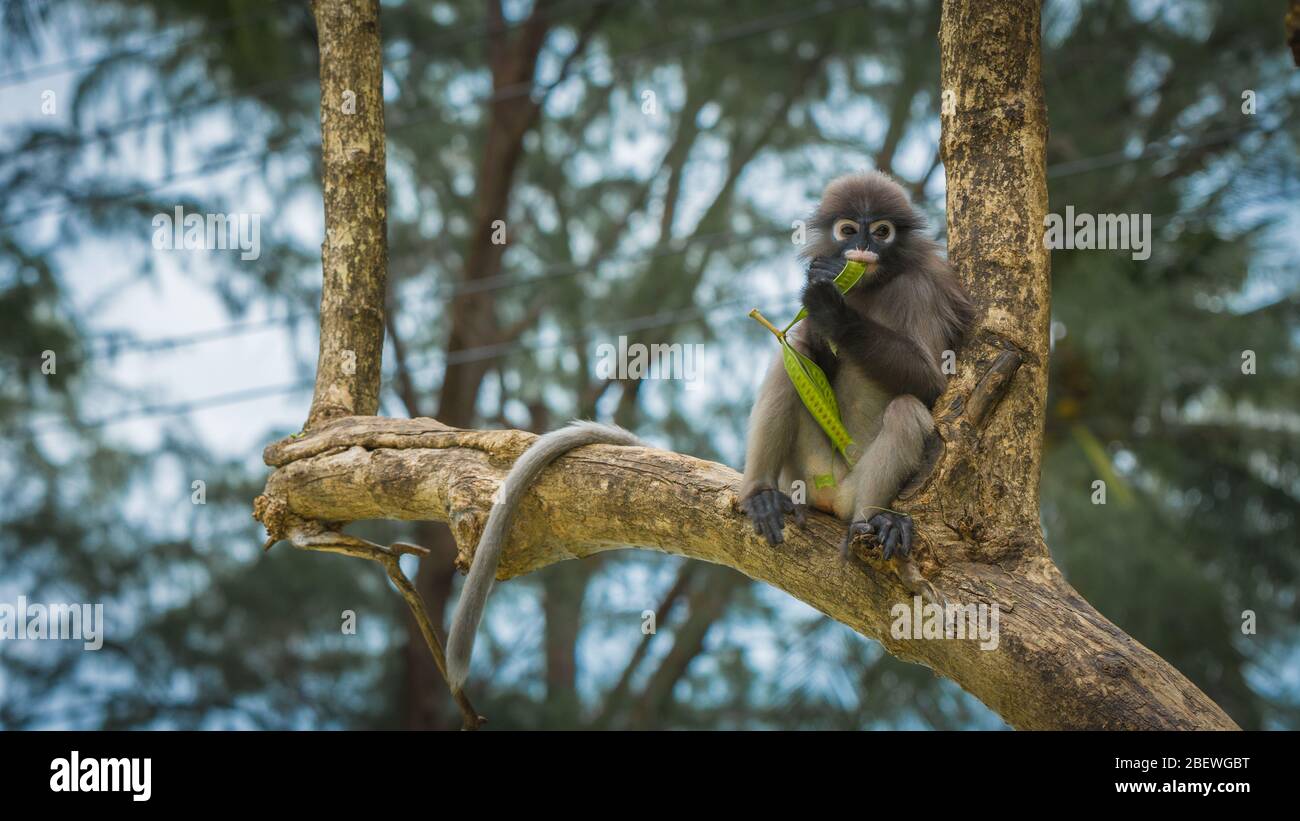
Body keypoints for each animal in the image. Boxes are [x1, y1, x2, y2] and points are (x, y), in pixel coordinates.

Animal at [739, 170, 974, 559]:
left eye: (881, 232)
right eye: (848, 230)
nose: (863, 245)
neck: (870, 286)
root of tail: (831, 496)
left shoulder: (923, 289)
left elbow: (932, 383)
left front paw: (836, 310)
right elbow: (807, 352)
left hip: (850, 490)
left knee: (906, 412)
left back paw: (875, 521)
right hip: (808, 471)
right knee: (791, 361)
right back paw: (762, 495)